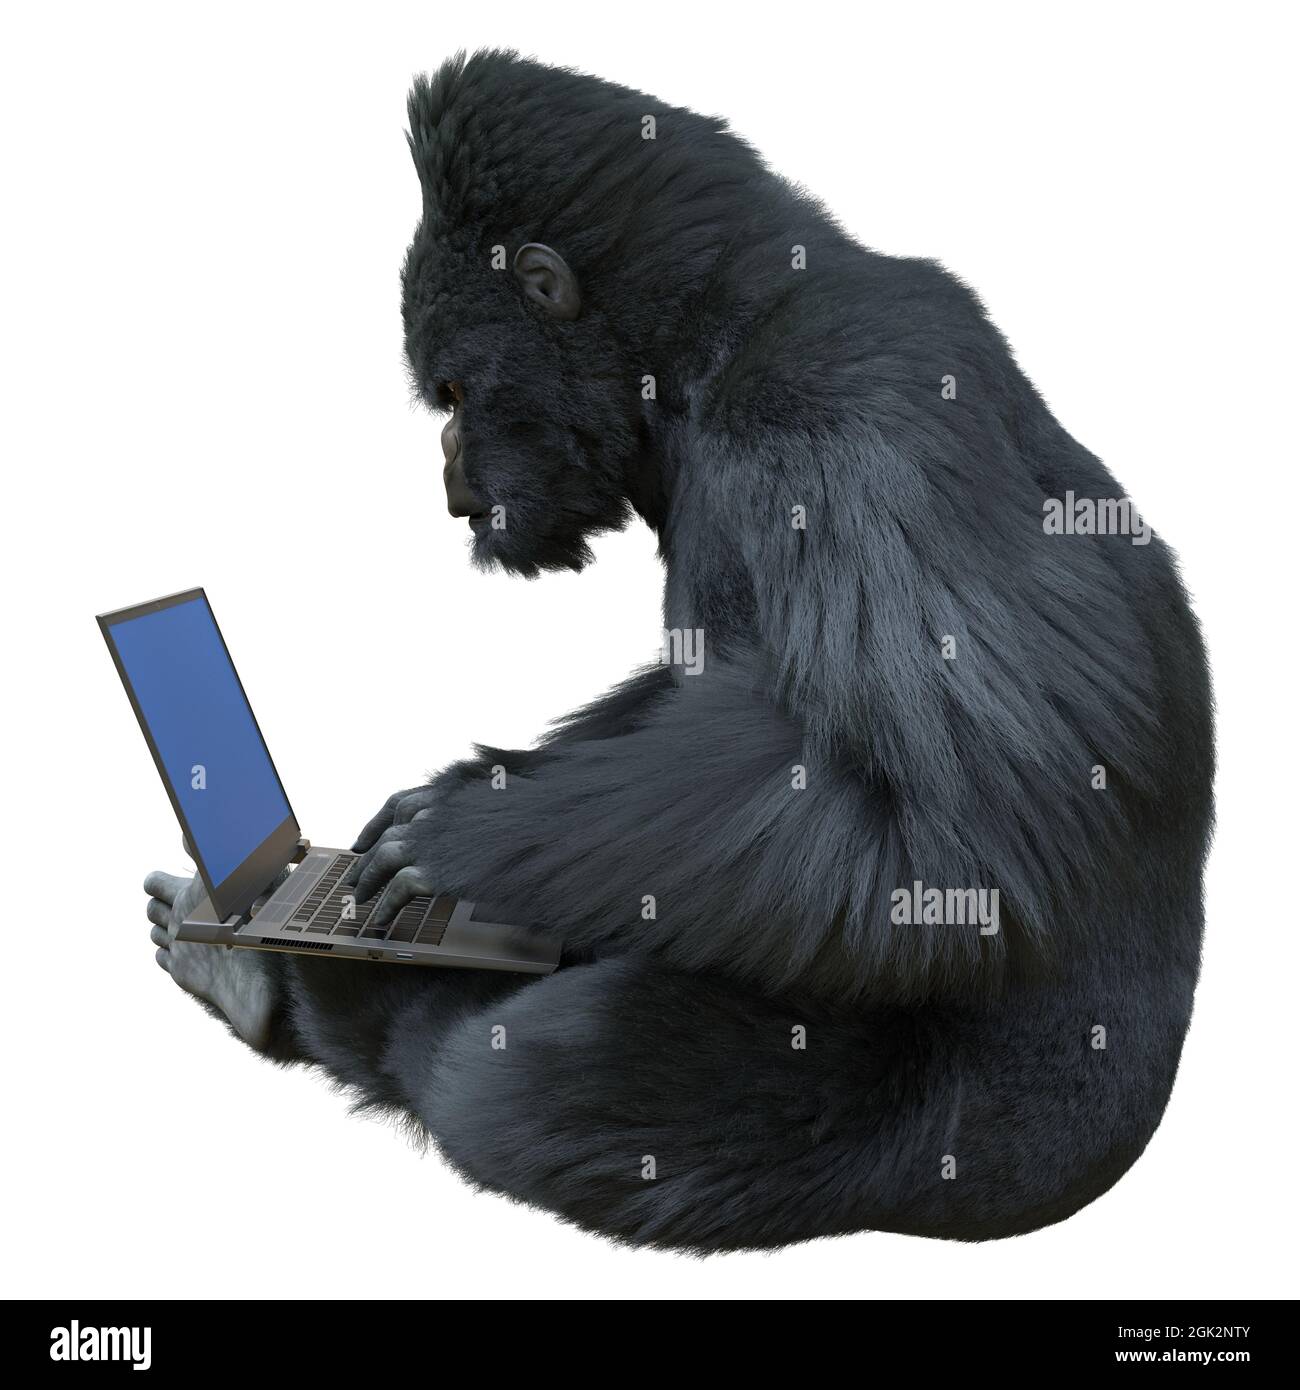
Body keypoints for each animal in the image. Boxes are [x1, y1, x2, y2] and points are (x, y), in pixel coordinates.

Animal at [147, 49, 1214, 1251]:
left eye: (457, 392)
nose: (447, 464)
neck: (702, 354)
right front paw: (465, 784)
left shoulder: (839, 407)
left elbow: (948, 830)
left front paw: (468, 842)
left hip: (967, 1153)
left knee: (546, 1067)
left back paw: (310, 997)